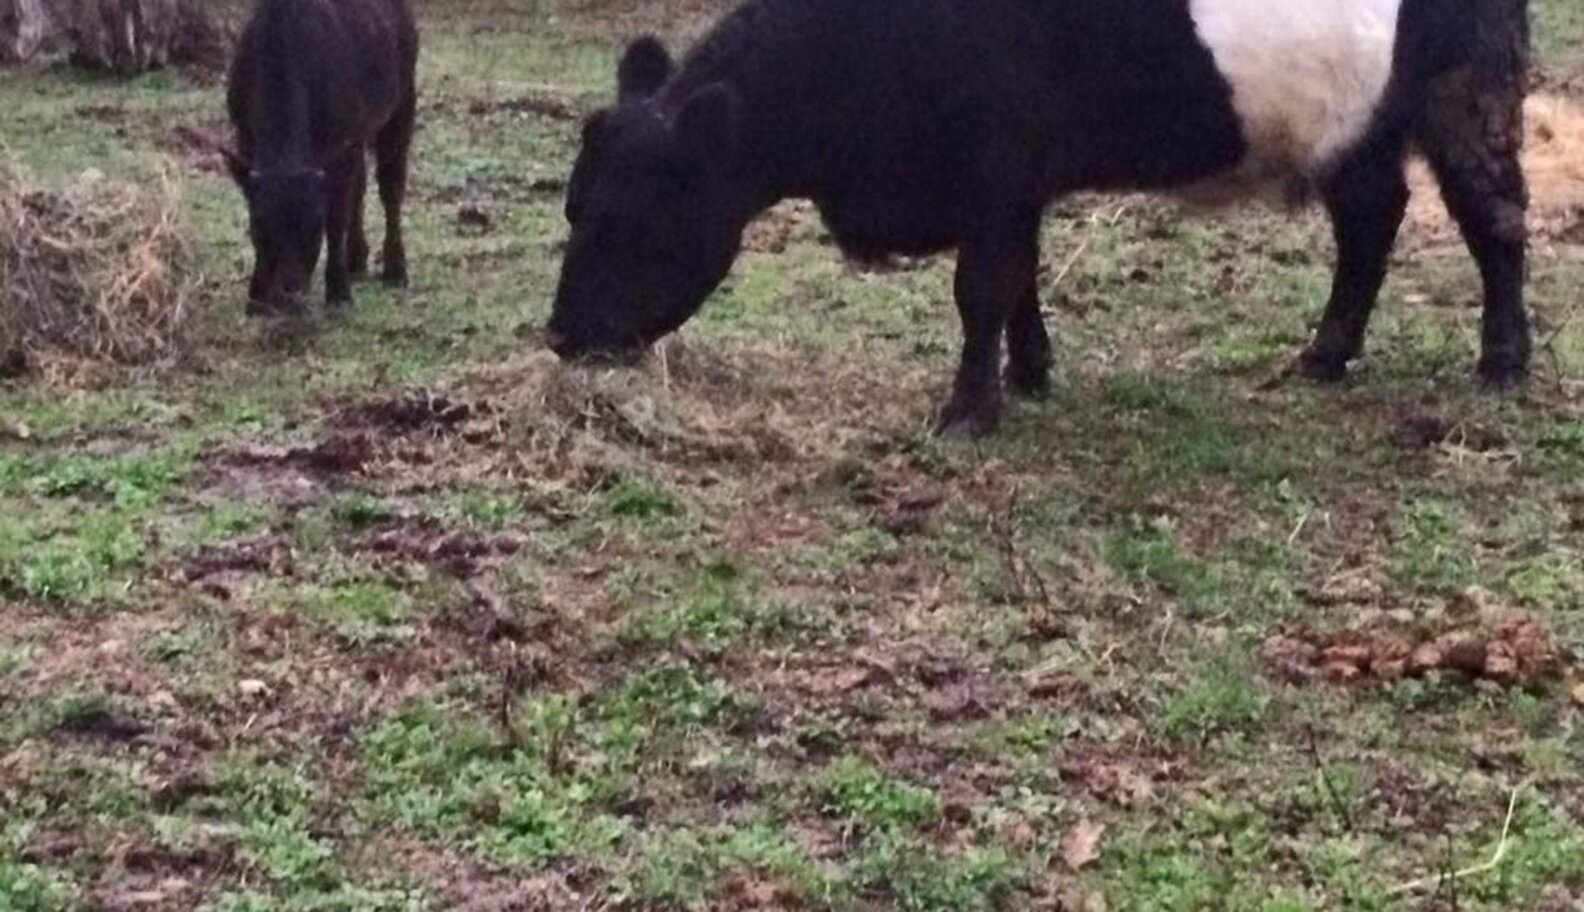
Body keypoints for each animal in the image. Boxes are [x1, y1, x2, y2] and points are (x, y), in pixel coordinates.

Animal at [226, 0, 418, 315]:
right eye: (259, 224)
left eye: (314, 224)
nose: (288, 289)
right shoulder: (244, 137)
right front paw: (257, 297)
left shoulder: (343, 145)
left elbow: (337, 217)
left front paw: (339, 291)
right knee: (360, 187)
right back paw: (356, 258)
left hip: (403, 103)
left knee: (391, 186)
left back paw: (395, 269)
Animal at [545, 0, 1532, 437]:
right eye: (571, 204)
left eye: (630, 215)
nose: (561, 334)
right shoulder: (1010, 189)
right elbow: (1017, 282)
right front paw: (1028, 375)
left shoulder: (994, 168)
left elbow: (980, 288)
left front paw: (967, 410)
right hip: (1354, 126)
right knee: (1371, 220)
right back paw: (1324, 356)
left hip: (1464, 88)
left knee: (1495, 218)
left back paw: (1502, 364)